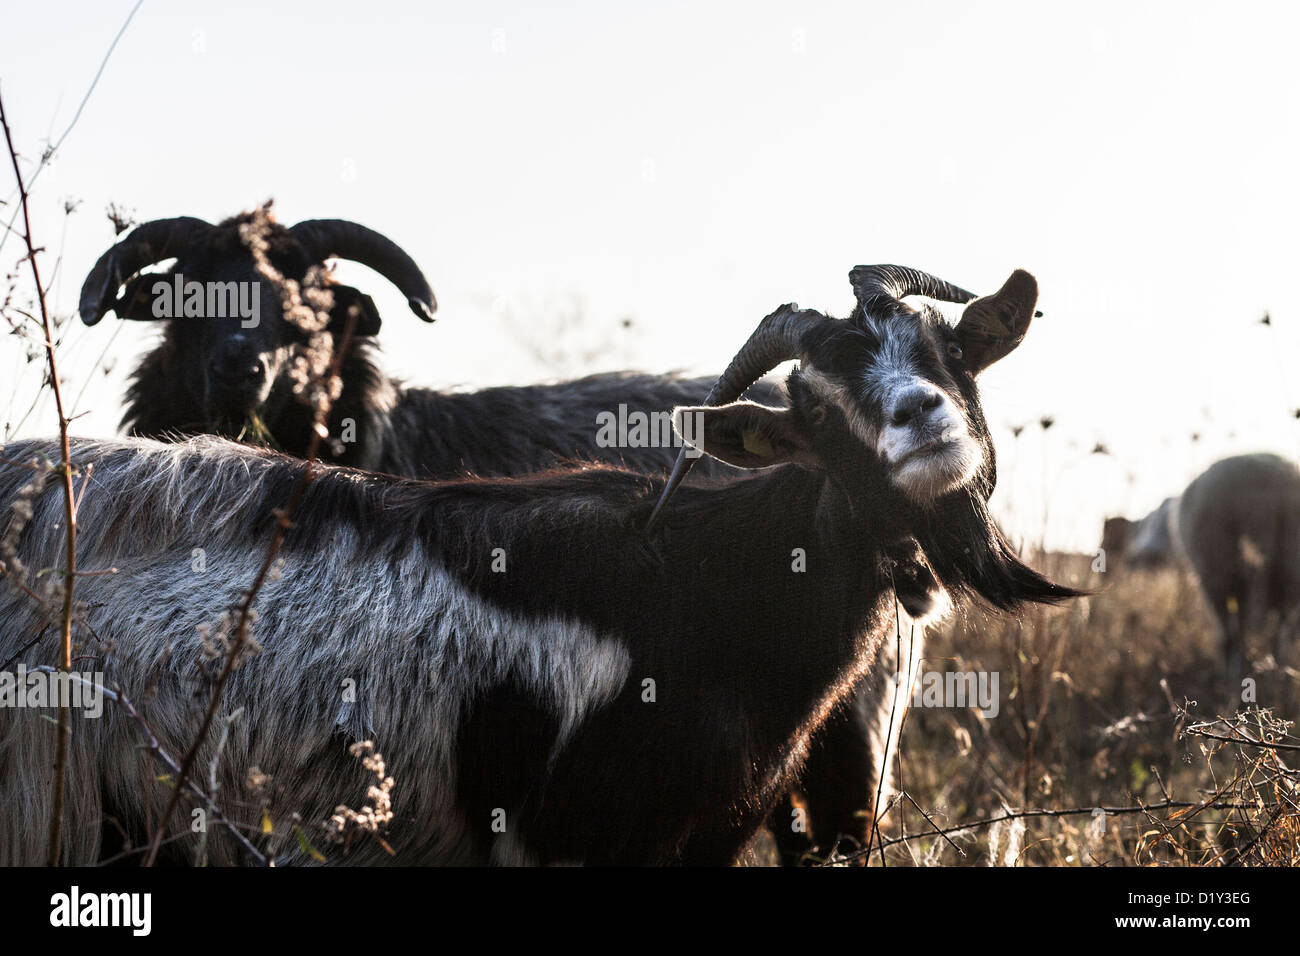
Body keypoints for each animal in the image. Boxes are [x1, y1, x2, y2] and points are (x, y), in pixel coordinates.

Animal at [1102, 453, 1300, 685]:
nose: (1140, 553)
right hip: (1285, 570)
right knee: (1275, 634)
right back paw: (1273, 678)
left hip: (1217, 574)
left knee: (1232, 633)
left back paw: (1237, 677)